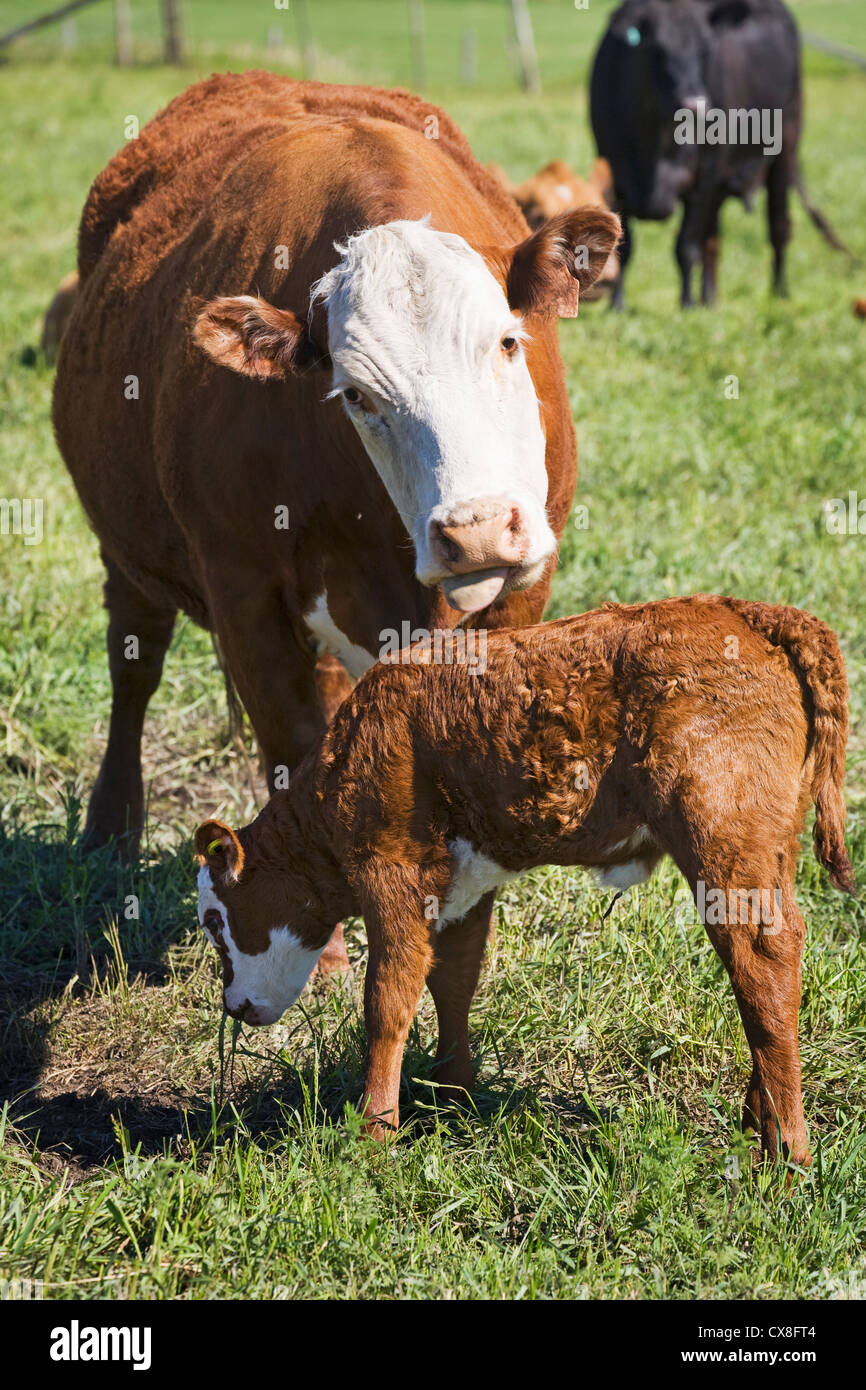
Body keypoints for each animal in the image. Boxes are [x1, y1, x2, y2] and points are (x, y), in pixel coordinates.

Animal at [52, 72, 620, 976]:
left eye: (507, 342)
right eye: (355, 393)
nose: (478, 531)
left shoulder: (521, 593)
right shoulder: (245, 593)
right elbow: (288, 743)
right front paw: (314, 947)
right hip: (126, 554)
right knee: (133, 669)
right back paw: (110, 828)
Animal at [194, 593, 854, 1164]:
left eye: (215, 920)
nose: (233, 1006)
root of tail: (751, 611)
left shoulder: (391, 873)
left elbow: (386, 1001)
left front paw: (373, 1133)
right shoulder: (461, 887)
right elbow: (453, 980)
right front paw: (453, 1094)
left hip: (721, 836)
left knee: (761, 956)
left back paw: (786, 1153)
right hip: (768, 846)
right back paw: (757, 1121)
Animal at [590, 0, 850, 308]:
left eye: (705, 48)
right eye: (656, 49)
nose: (695, 105)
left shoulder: (706, 175)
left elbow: (685, 246)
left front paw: (686, 305)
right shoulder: (616, 175)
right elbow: (625, 247)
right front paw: (617, 306)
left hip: (785, 150)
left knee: (779, 227)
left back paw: (778, 293)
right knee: (713, 243)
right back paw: (710, 301)